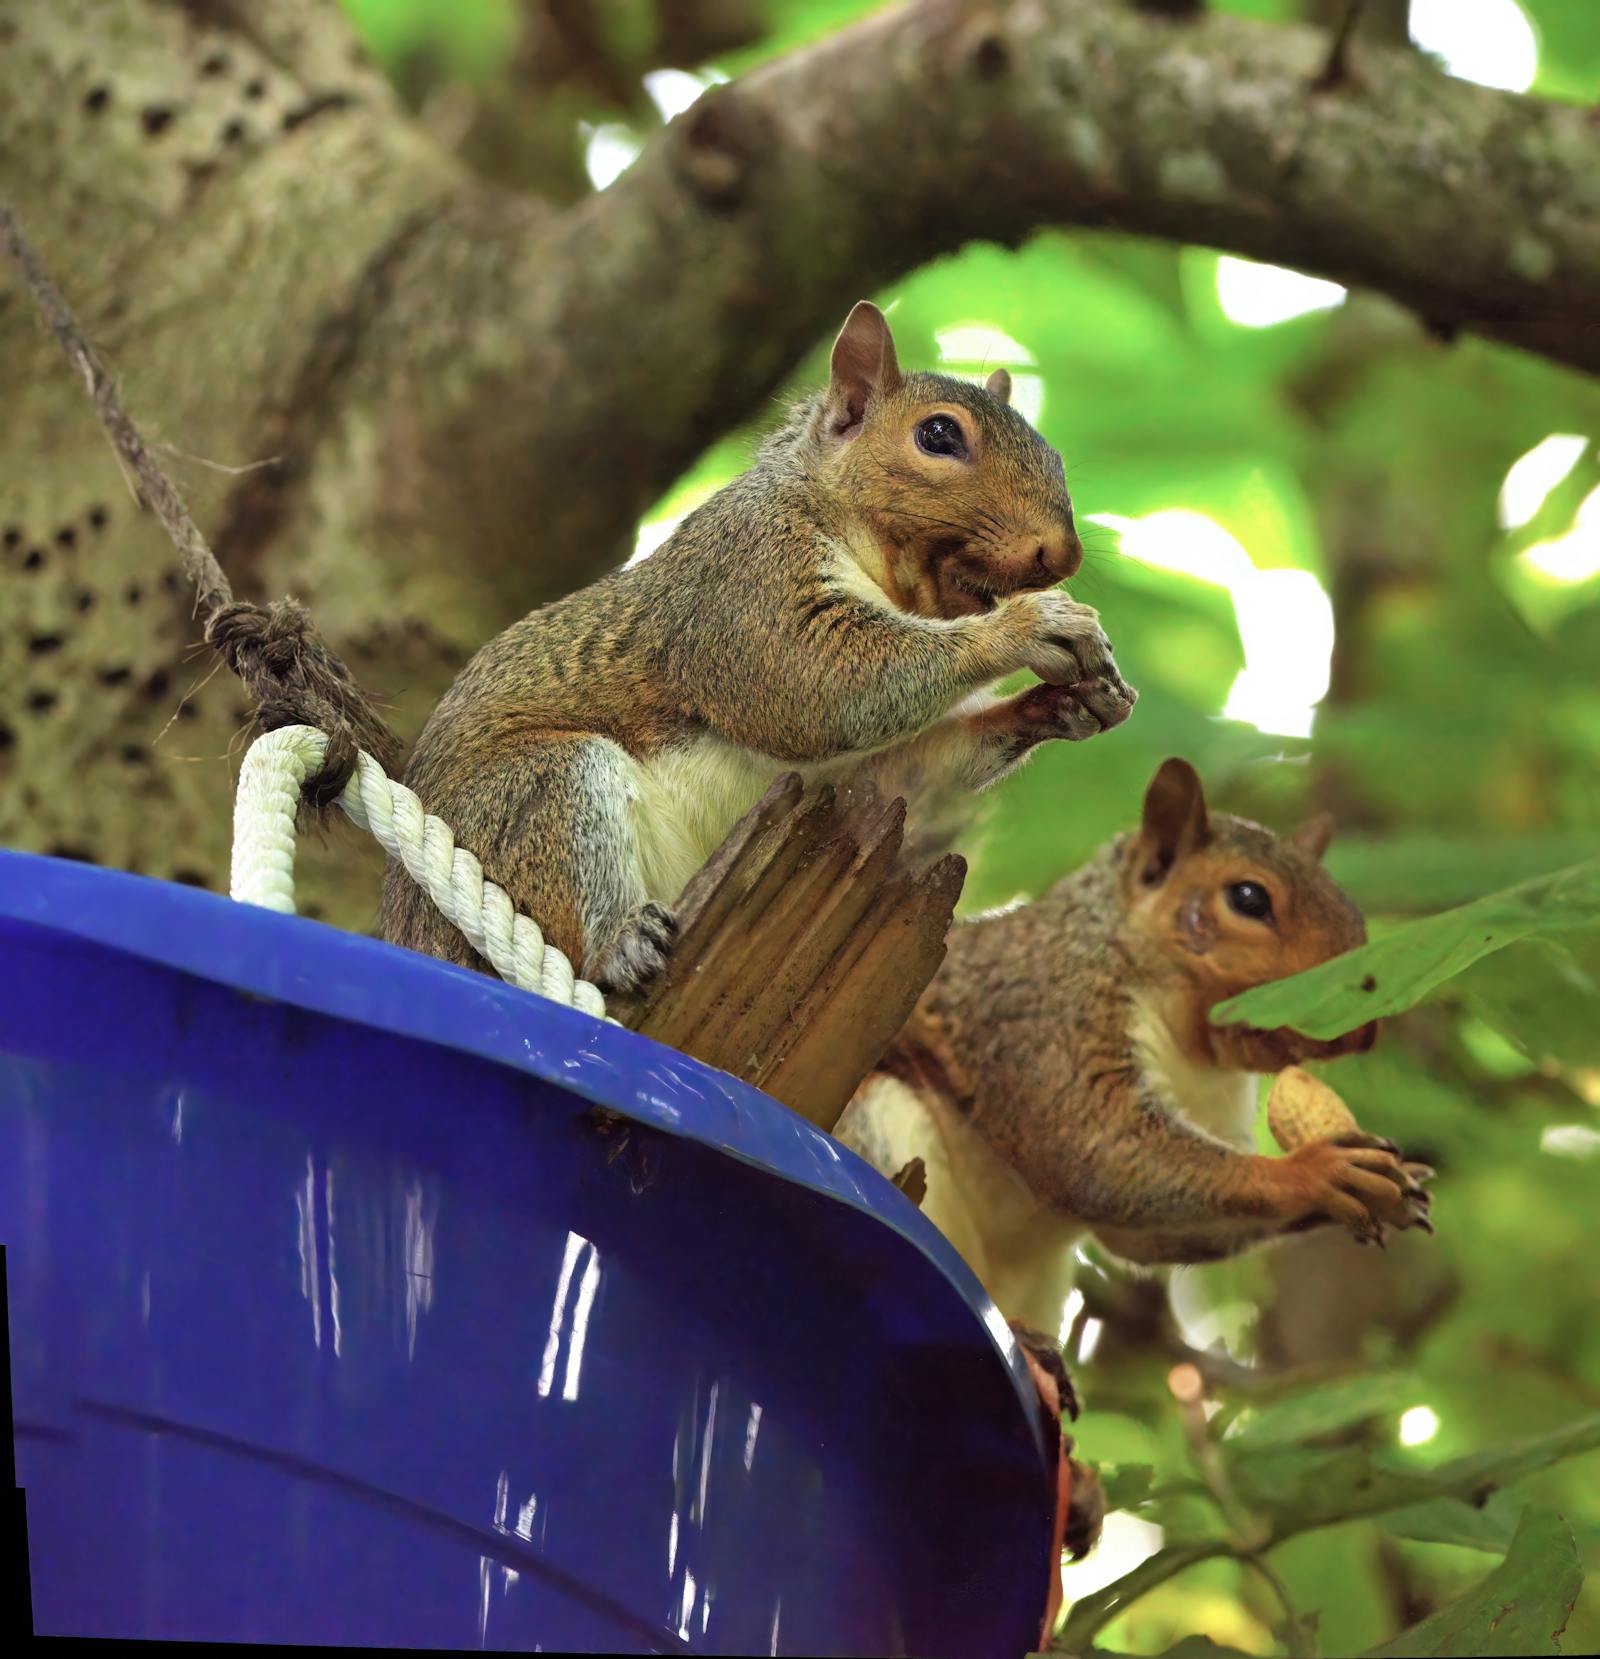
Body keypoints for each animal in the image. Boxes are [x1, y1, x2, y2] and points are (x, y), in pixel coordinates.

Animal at [382, 302, 1136, 992]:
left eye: (1054, 453)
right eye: (939, 434)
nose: (1063, 553)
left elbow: (893, 775)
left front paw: (1069, 703)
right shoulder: (745, 581)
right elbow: (815, 684)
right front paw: (1034, 626)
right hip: (530, 798)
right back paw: (621, 942)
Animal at [834, 757, 1433, 1337]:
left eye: (1348, 906)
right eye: (1248, 898)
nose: (1367, 1028)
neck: (1192, 1049)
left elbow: (1143, 1234)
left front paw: (1389, 1180)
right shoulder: (1044, 1010)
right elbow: (1094, 1146)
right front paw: (1315, 1170)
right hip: (873, 1125)